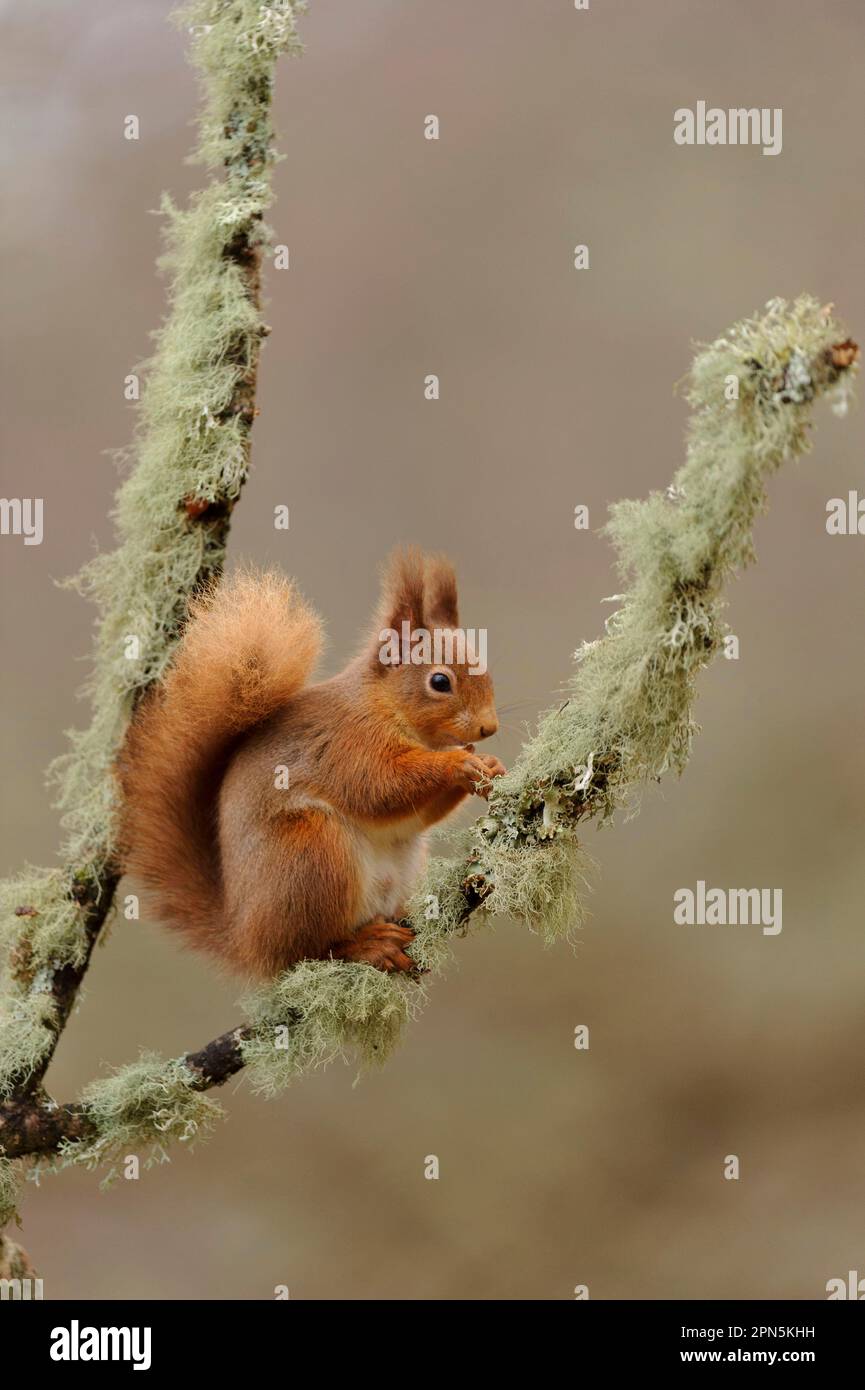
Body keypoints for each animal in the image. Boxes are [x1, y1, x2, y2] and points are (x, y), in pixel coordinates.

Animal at [118, 548, 506, 977]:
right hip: (311, 854)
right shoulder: (348, 744)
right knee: (309, 950)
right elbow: (381, 787)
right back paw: (368, 947)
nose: (489, 726)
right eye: (440, 682)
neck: (384, 705)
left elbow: (415, 814)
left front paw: (488, 766)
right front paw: (458, 764)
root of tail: (244, 938)